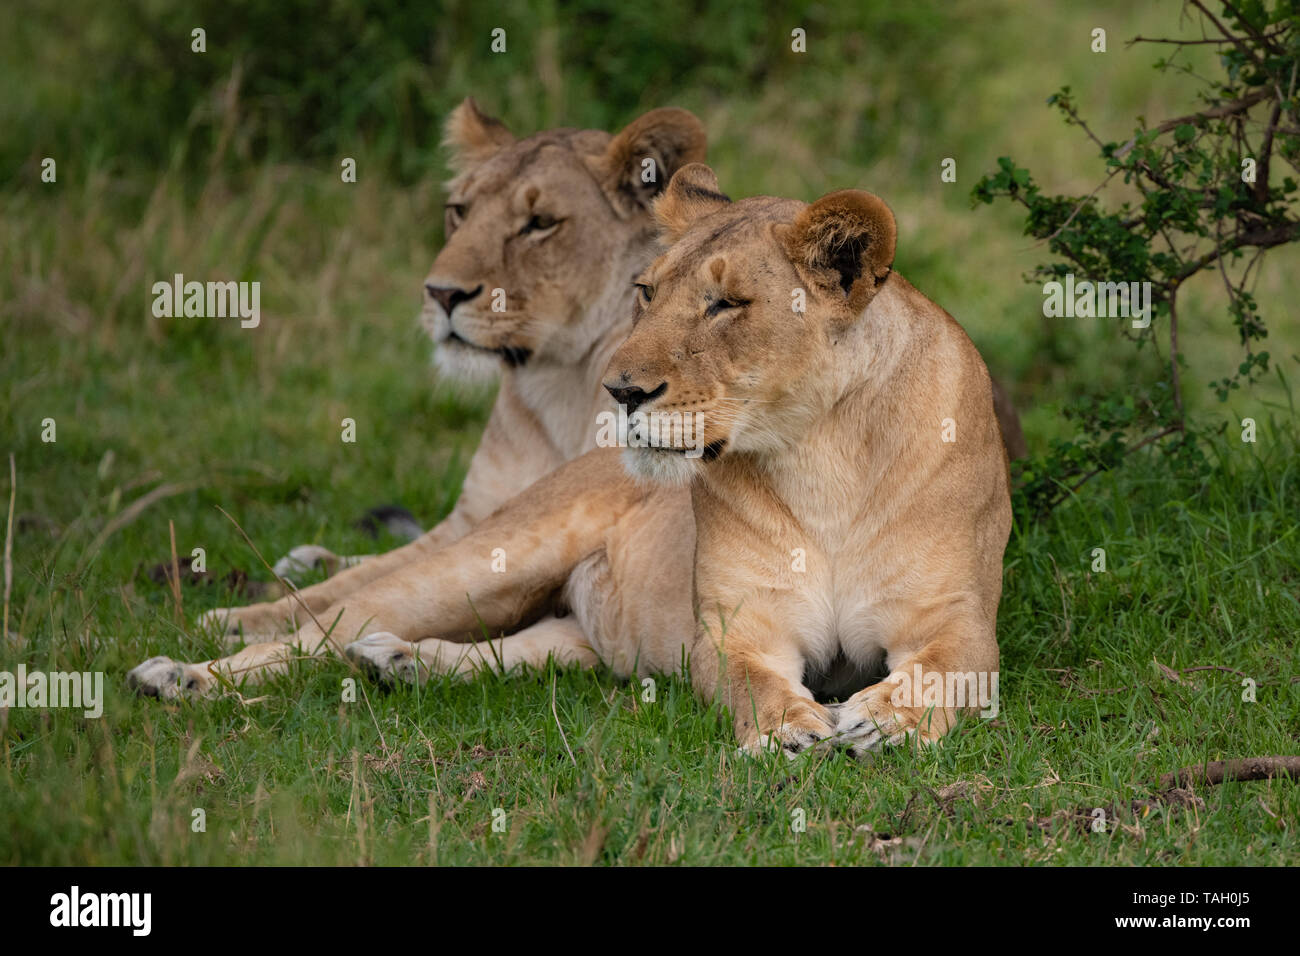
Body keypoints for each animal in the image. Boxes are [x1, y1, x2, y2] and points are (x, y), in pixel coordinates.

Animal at [130, 164, 1011, 757]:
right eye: (648, 293)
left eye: (726, 304)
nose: (620, 391)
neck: (815, 453)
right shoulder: (736, 629)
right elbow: (751, 680)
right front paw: (790, 729)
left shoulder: (957, 622)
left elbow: (948, 671)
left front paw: (883, 718)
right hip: (493, 556)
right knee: (328, 620)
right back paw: (184, 671)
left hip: (574, 626)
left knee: (509, 647)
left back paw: (400, 663)